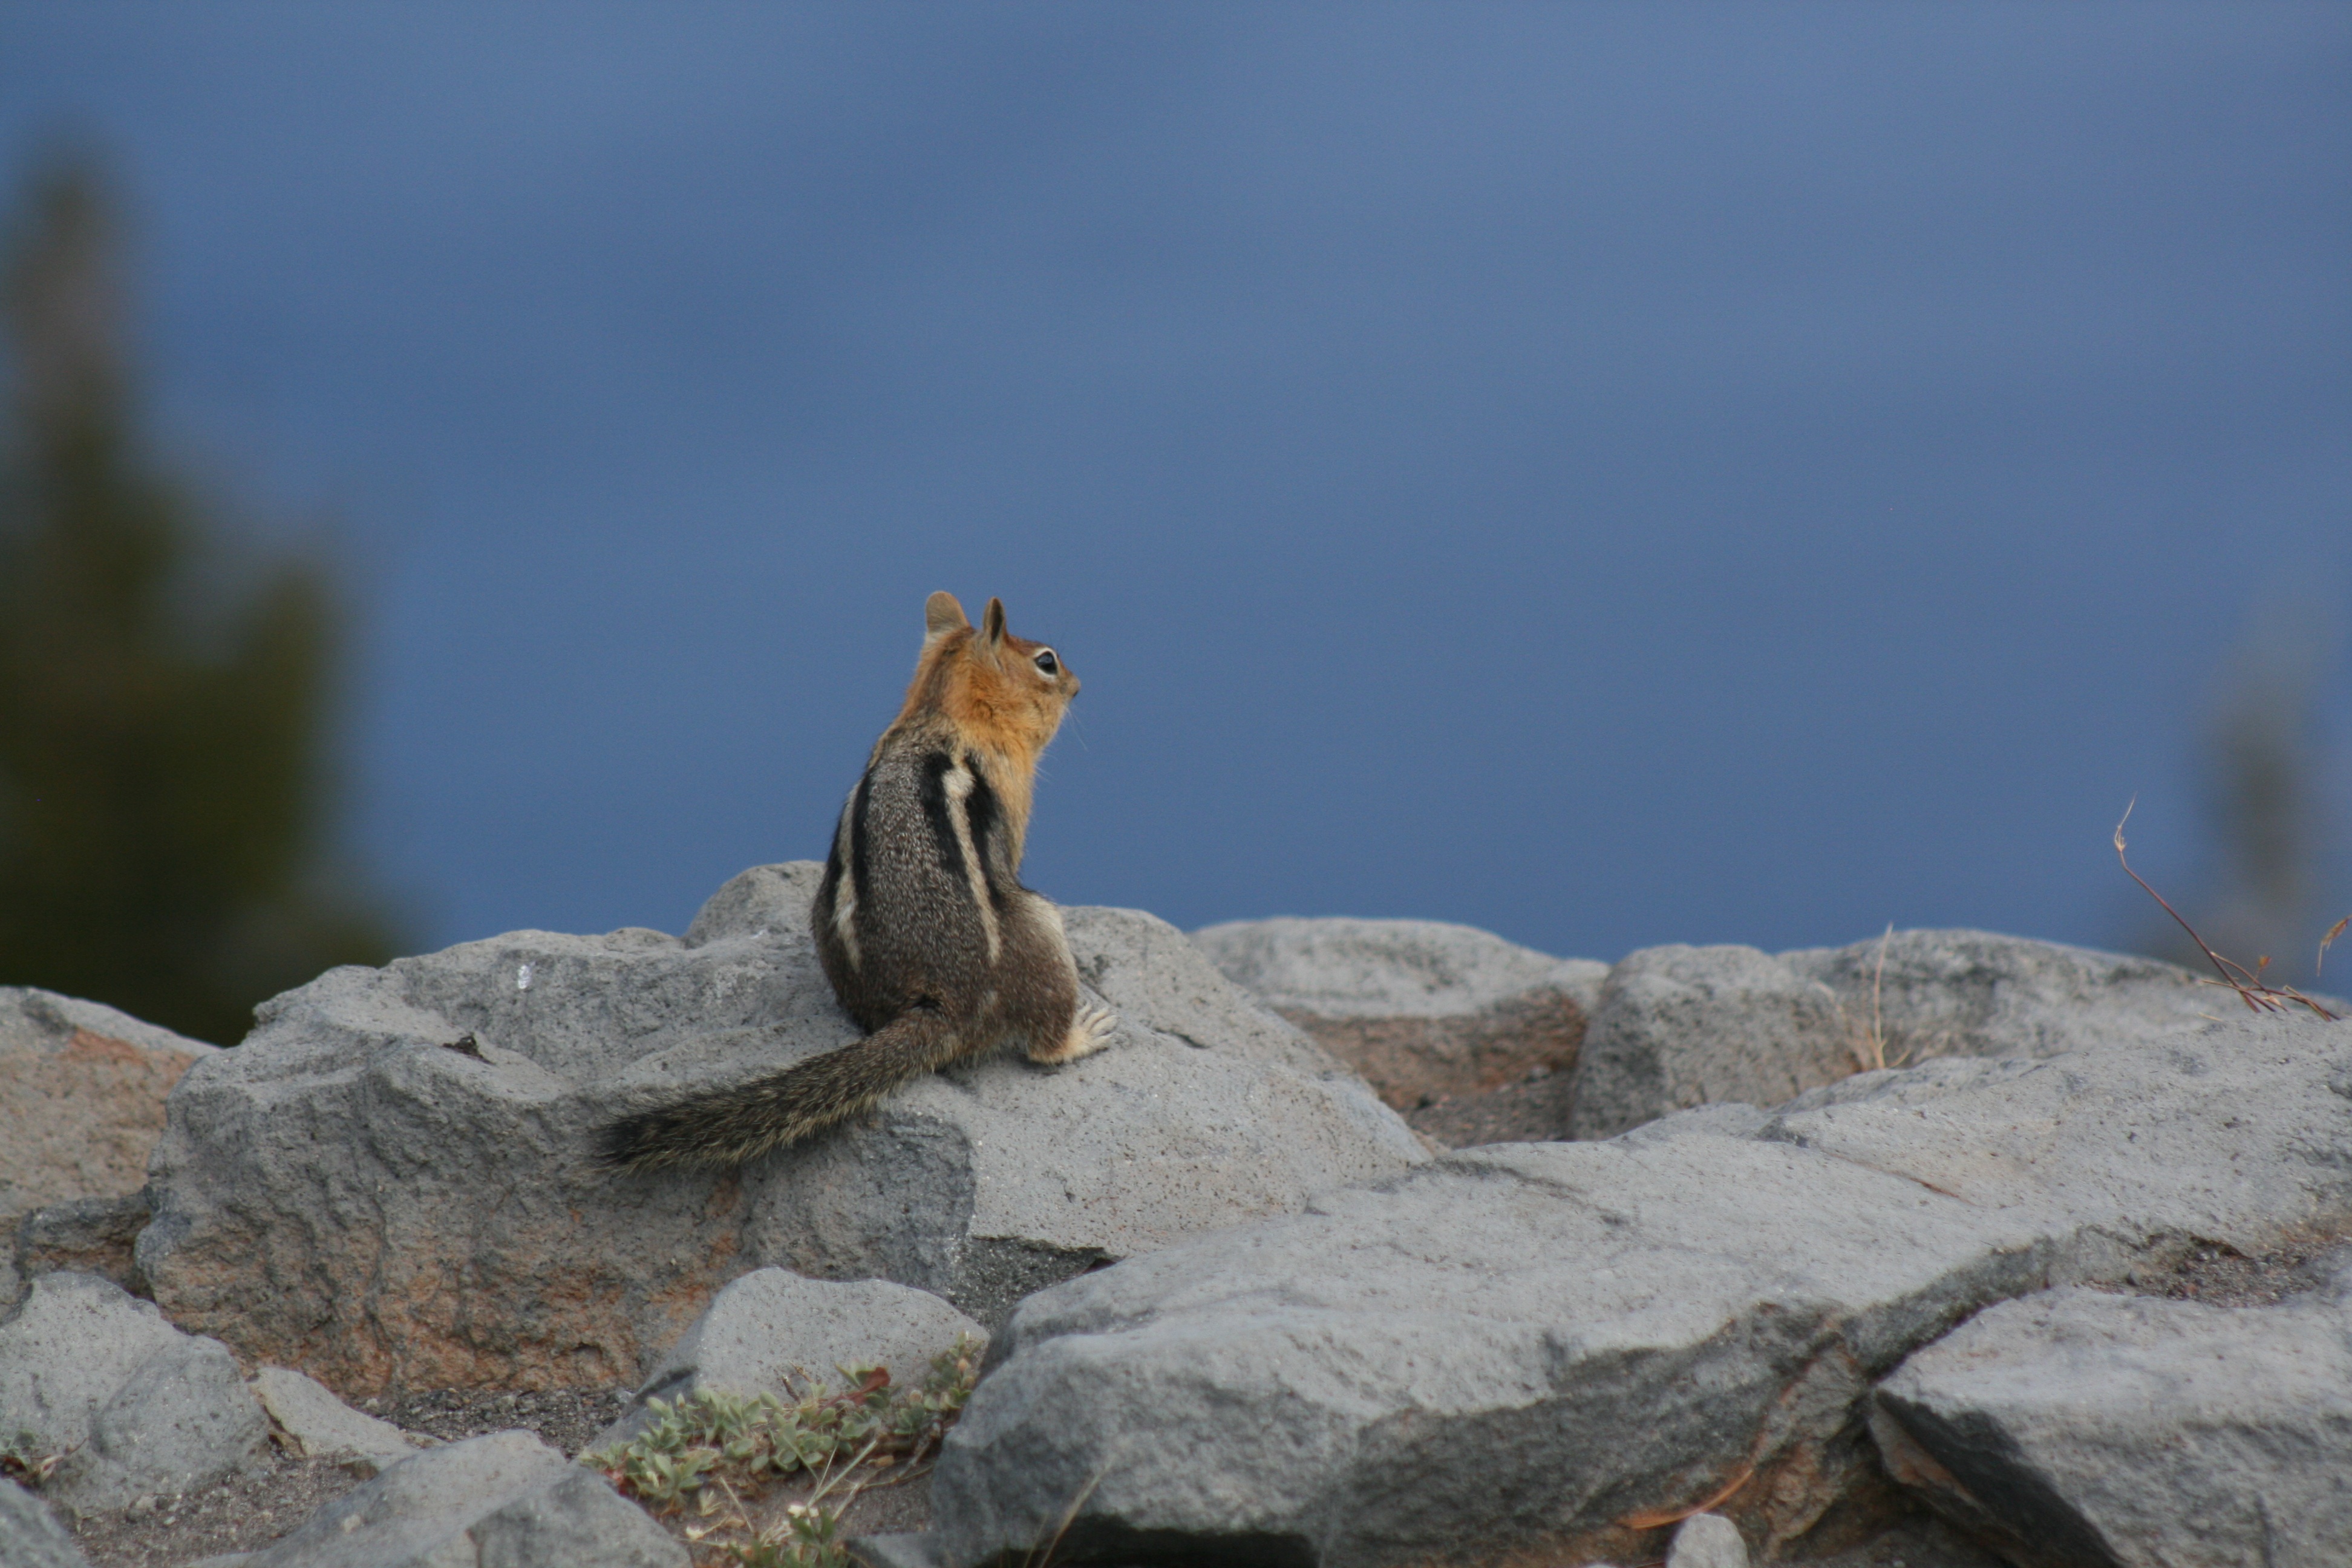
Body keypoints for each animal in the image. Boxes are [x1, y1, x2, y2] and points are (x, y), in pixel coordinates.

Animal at [597, 591, 1115, 1171]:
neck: (940, 712)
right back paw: (1083, 1033)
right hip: (1043, 926)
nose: (1079, 684)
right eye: (1047, 662)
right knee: (1042, 1045)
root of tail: (944, 1004)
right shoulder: (1010, 796)